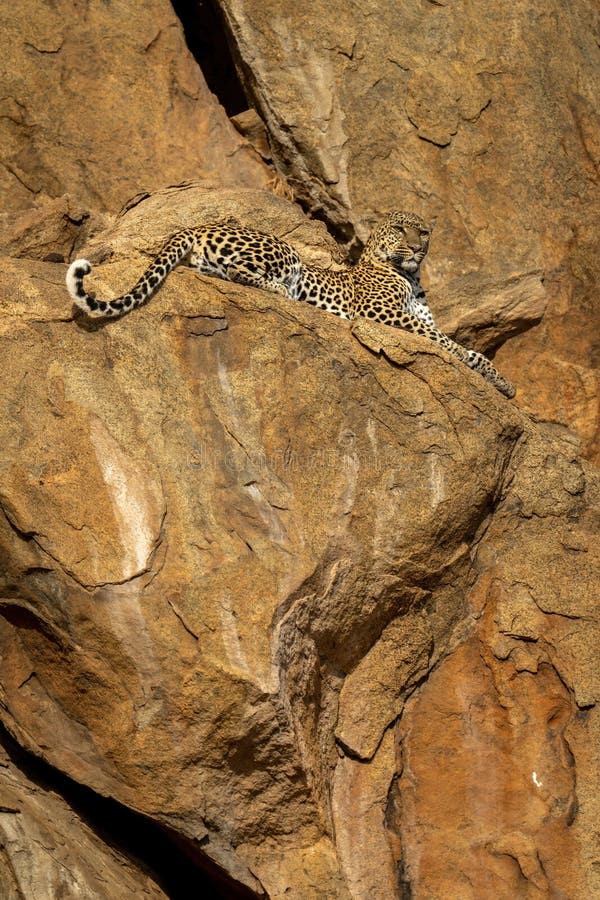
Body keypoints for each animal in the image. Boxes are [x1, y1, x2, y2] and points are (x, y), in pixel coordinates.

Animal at [66, 211, 515, 398]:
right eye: (401, 229)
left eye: (423, 231)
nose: (418, 246)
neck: (412, 276)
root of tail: (196, 225)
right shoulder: (380, 312)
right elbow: (453, 346)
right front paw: (488, 372)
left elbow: (449, 340)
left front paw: (502, 382)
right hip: (285, 251)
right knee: (241, 271)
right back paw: (284, 292)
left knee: (217, 269)